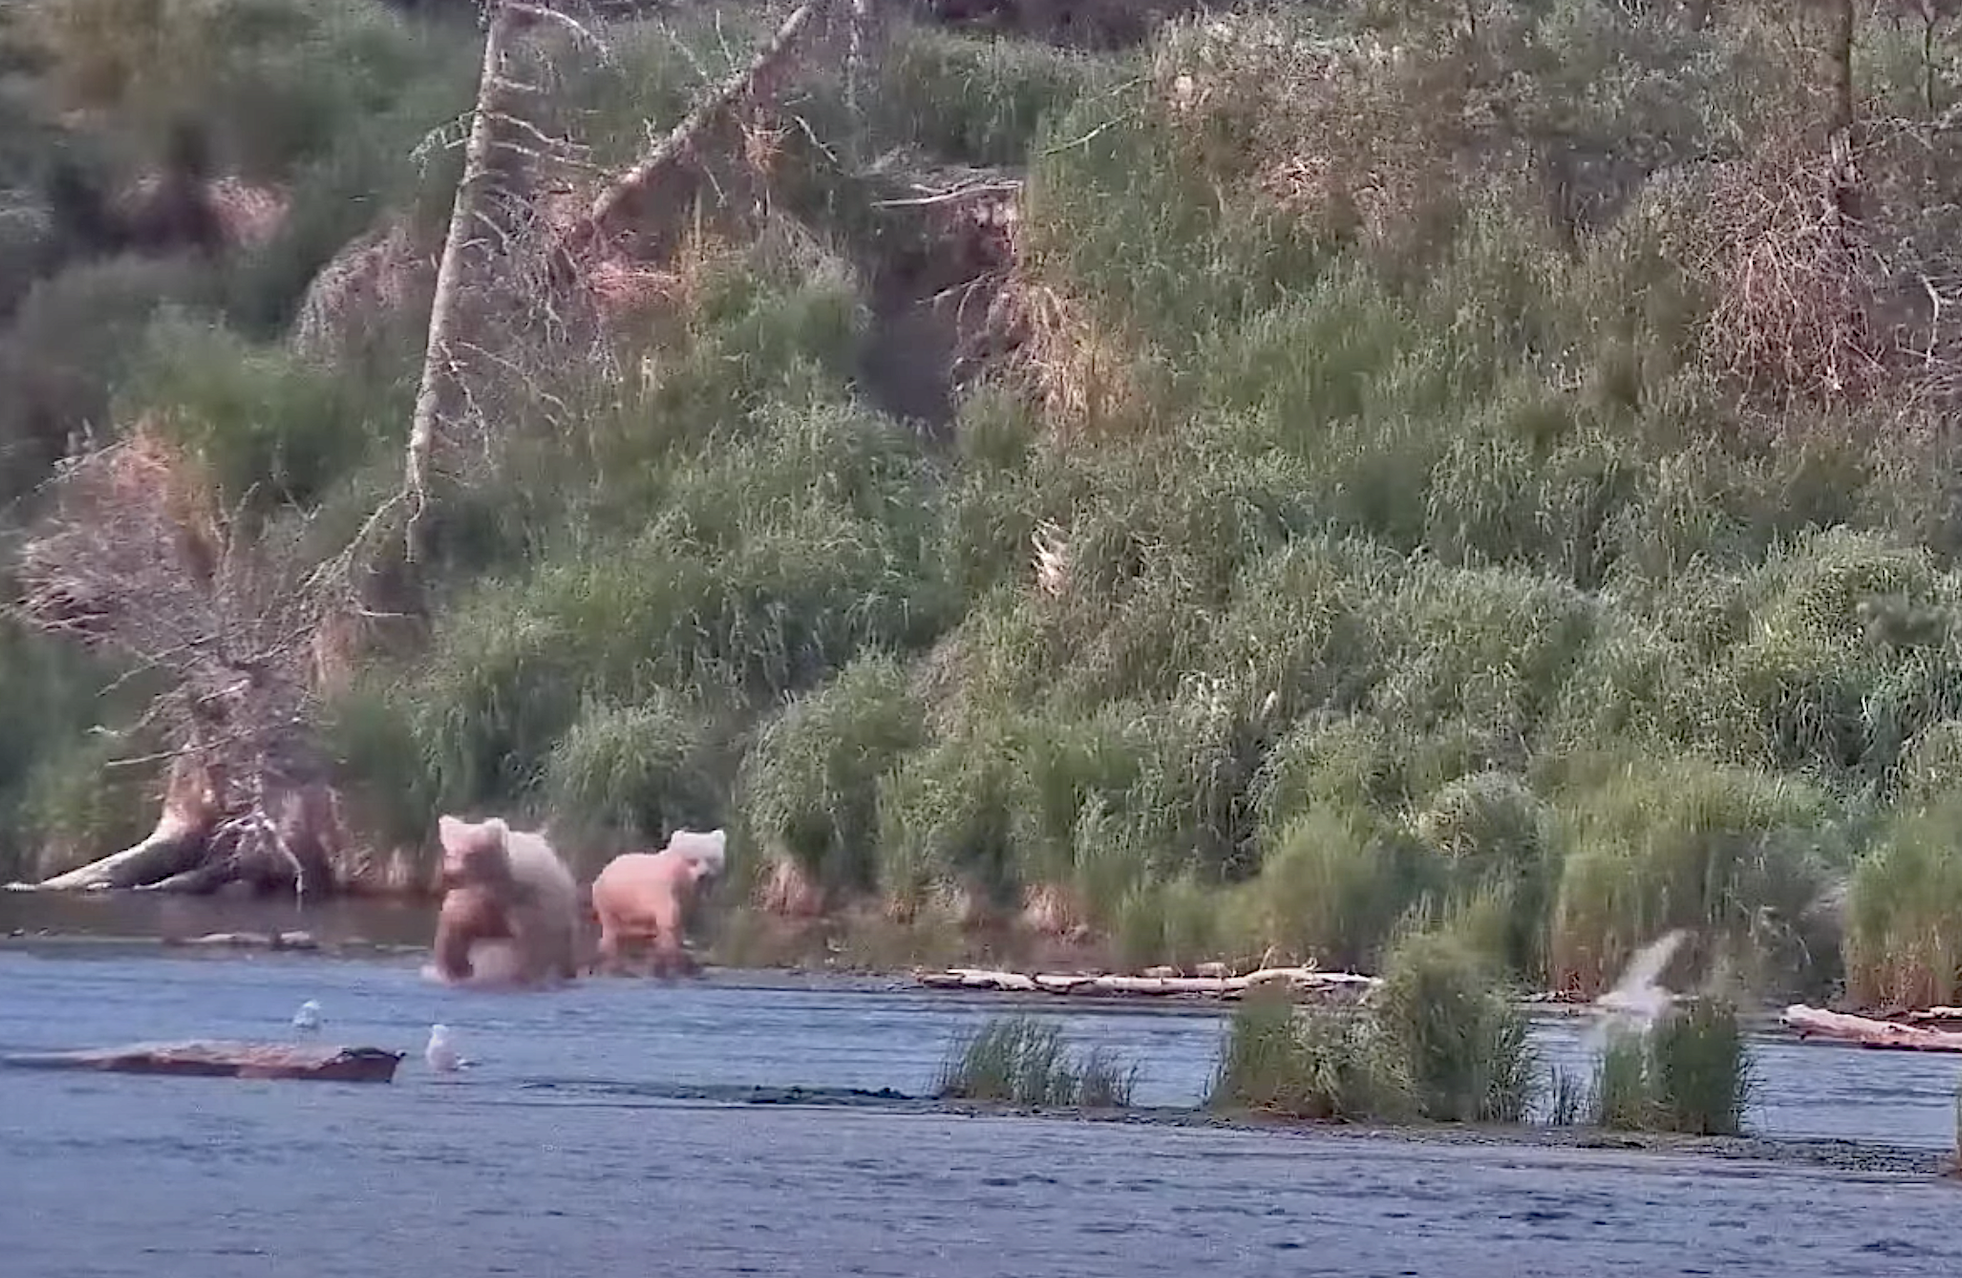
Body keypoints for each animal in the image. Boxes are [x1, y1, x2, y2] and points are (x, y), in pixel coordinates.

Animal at [428, 814, 581, 989]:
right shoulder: (477, 900)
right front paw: (460, 970)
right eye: (449, 853)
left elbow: (536, 946)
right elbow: (457, 928)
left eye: (470, 853)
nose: (449, 875)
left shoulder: (530, 904)